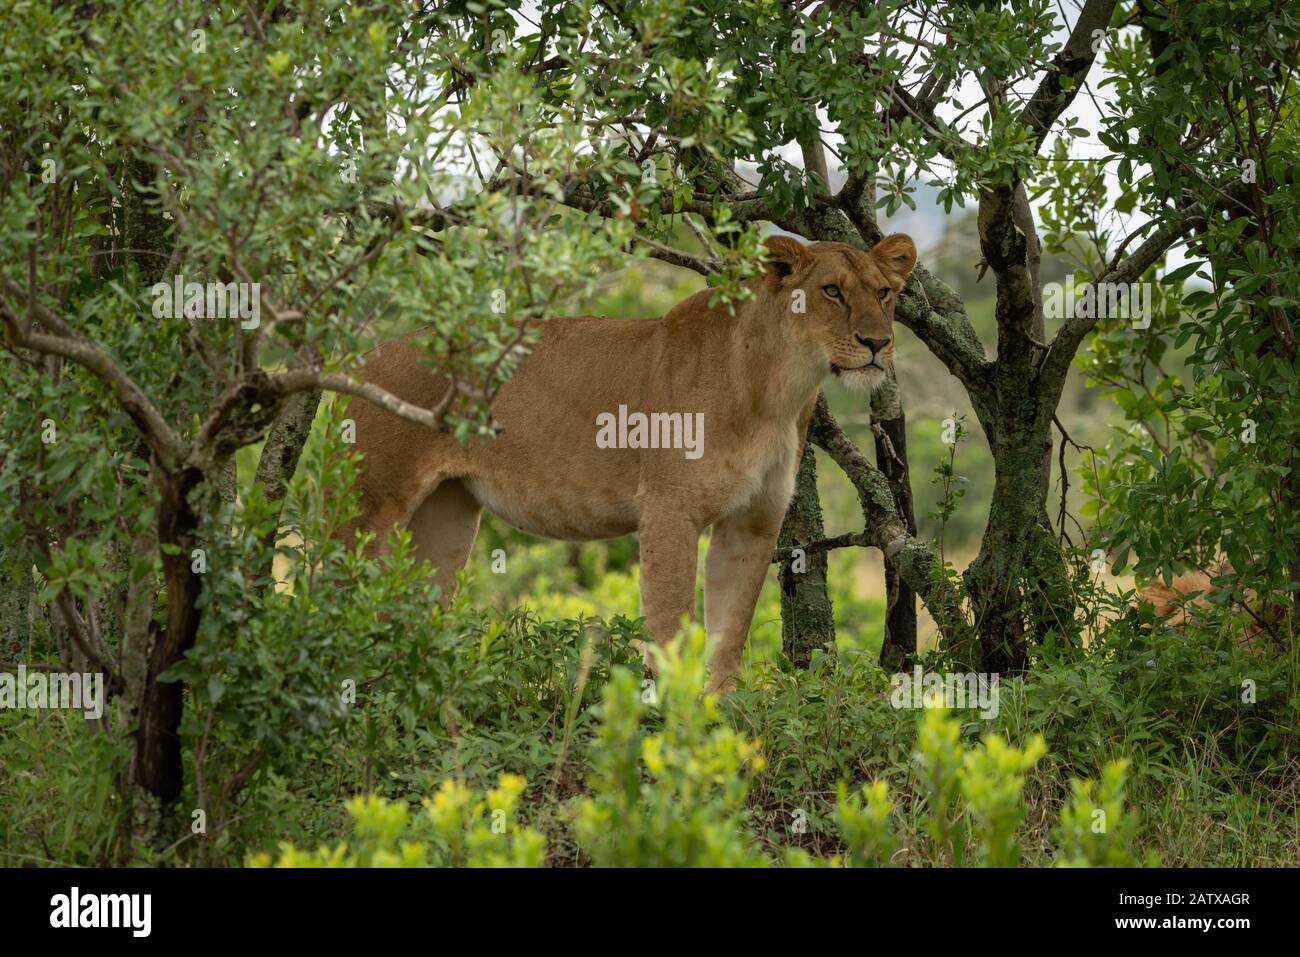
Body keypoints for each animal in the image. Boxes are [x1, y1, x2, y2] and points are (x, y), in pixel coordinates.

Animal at [339, 233, 918, 689]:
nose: (878, 342)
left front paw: (726, 713)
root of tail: (363, 356)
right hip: (369, 505)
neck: (779, 389)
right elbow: (670, 622)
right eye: (832, 291)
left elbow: (730, 626)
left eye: (883, 293)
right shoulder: (669, 510)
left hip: (447, 514)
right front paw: (675, 713)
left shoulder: (754, 520)